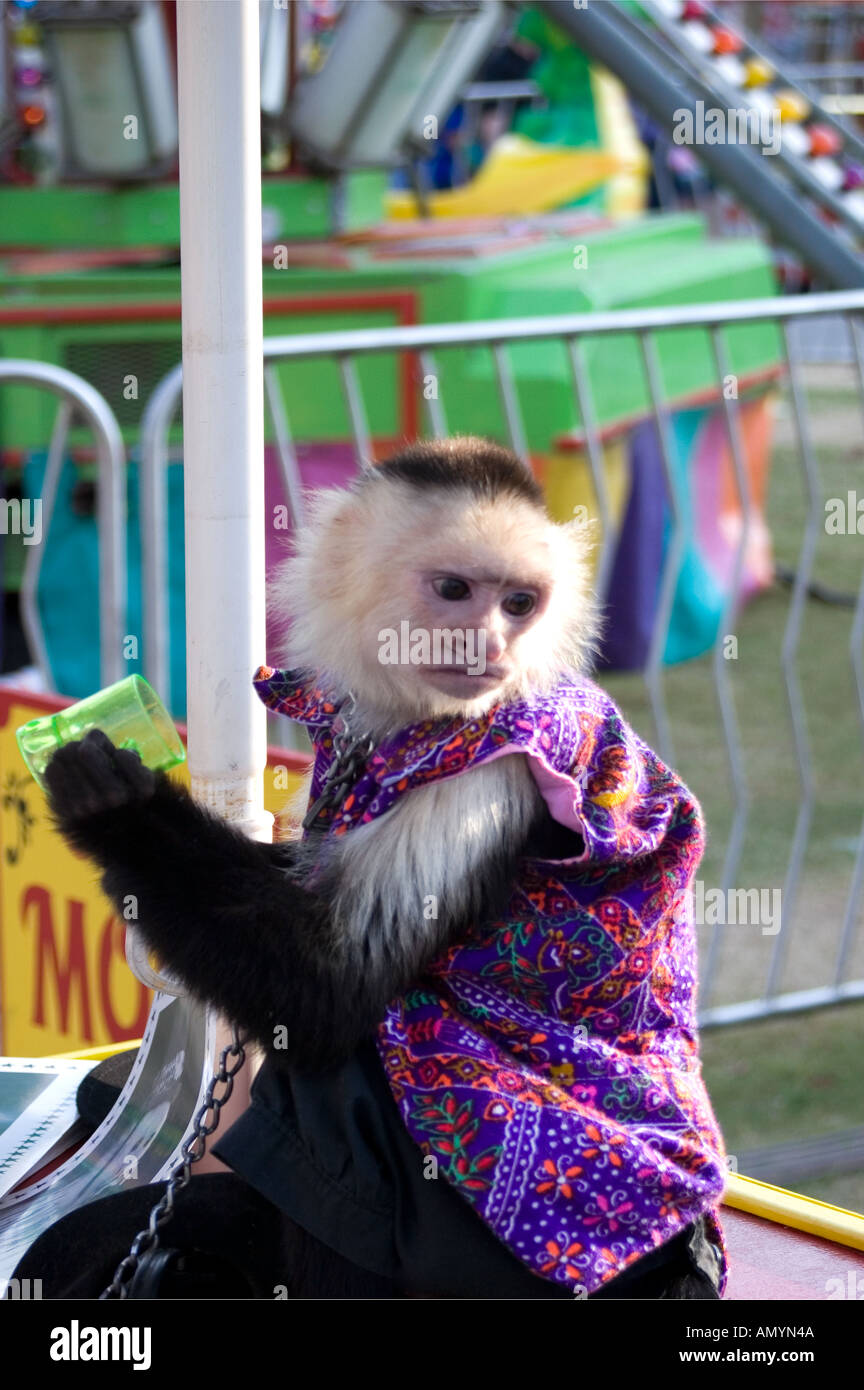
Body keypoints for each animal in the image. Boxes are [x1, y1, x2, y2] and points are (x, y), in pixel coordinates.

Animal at [31, 437, 728, 1300]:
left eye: (520, 603)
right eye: (456, 591)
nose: (490, 645)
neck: (413, 719)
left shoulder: (489, 767)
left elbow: (330, 988)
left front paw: (112, 802)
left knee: (341, 1088)